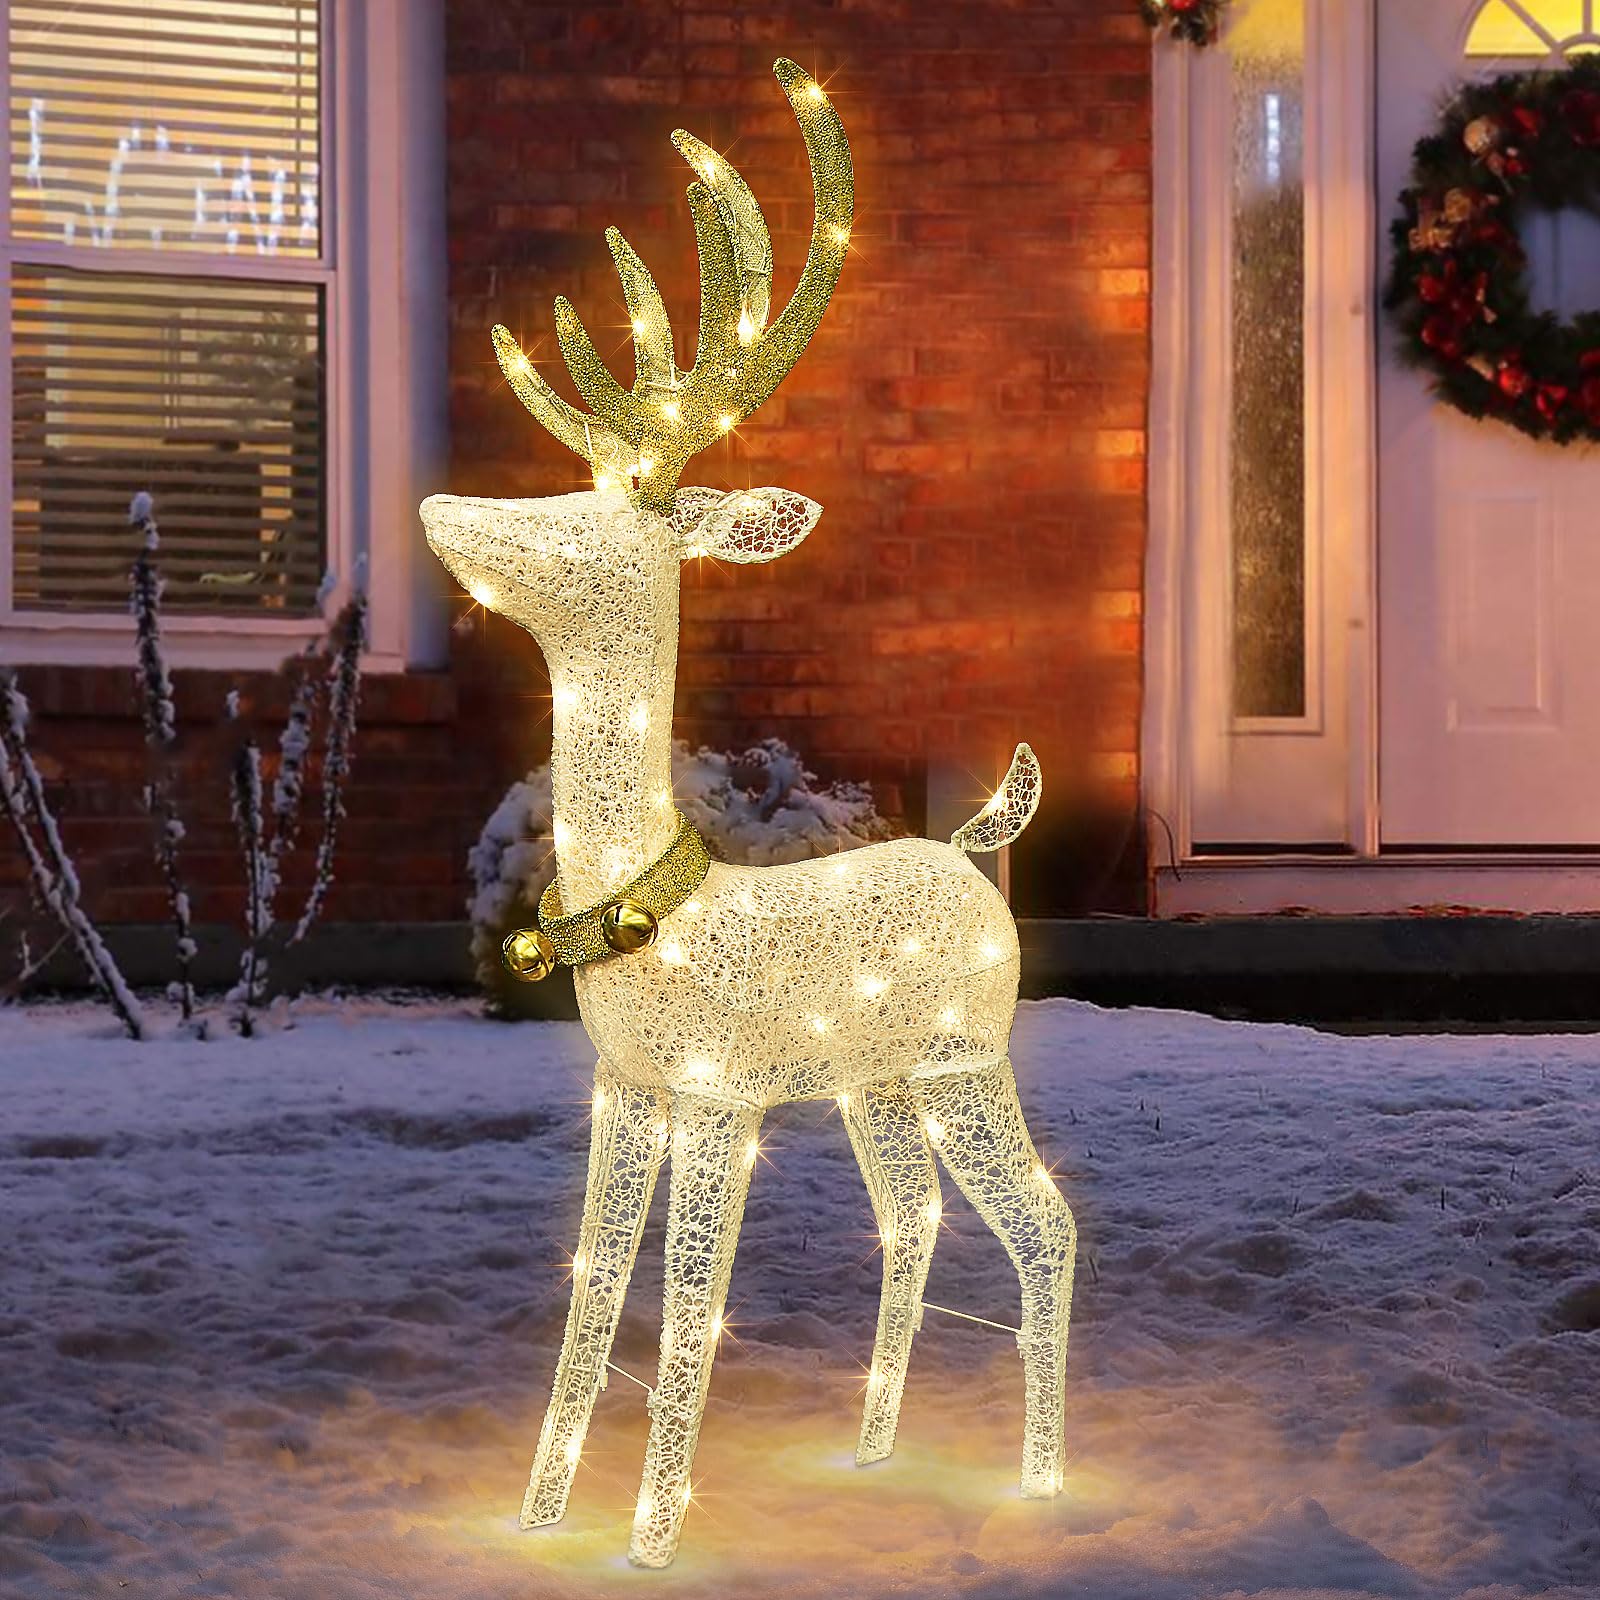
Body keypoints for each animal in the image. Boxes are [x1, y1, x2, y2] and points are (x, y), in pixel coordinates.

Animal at [420, 58, 1076, 1570]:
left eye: (593, 523)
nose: (441, 511)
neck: (647, 907)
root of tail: (974, 846)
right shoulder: (625, 1090)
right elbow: (592, 1292)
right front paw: (536, 1519)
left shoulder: (718, 1097)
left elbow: (686, 1310)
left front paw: (649, 1546)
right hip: (874, 1079)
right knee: (915, 1218)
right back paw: (874, 1448)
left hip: (966, 1060)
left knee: (1047, 1224)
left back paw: (1040, 1482)